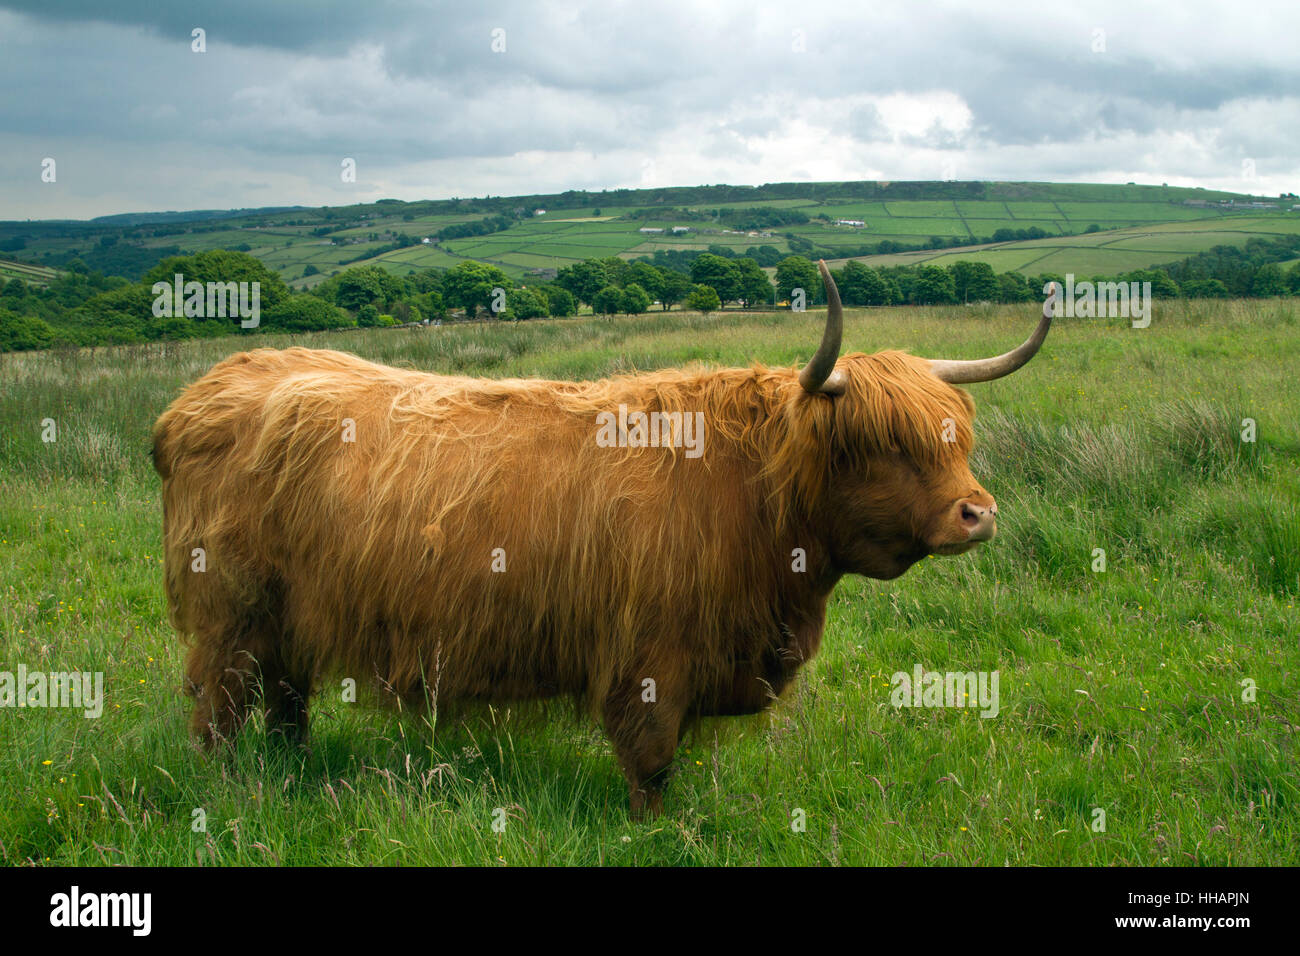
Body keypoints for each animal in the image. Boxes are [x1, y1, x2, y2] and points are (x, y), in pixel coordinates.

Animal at [152, 261, 1052, 817]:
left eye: (957, 435)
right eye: (880, 443)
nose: (978, 513)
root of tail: (204, 391)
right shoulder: (648, 659)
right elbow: (651, 762)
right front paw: (654, 829)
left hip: (290, 619)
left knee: (285, 700)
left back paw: (293, 775)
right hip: (230, 612)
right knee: (218, 710)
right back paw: (227, 793)